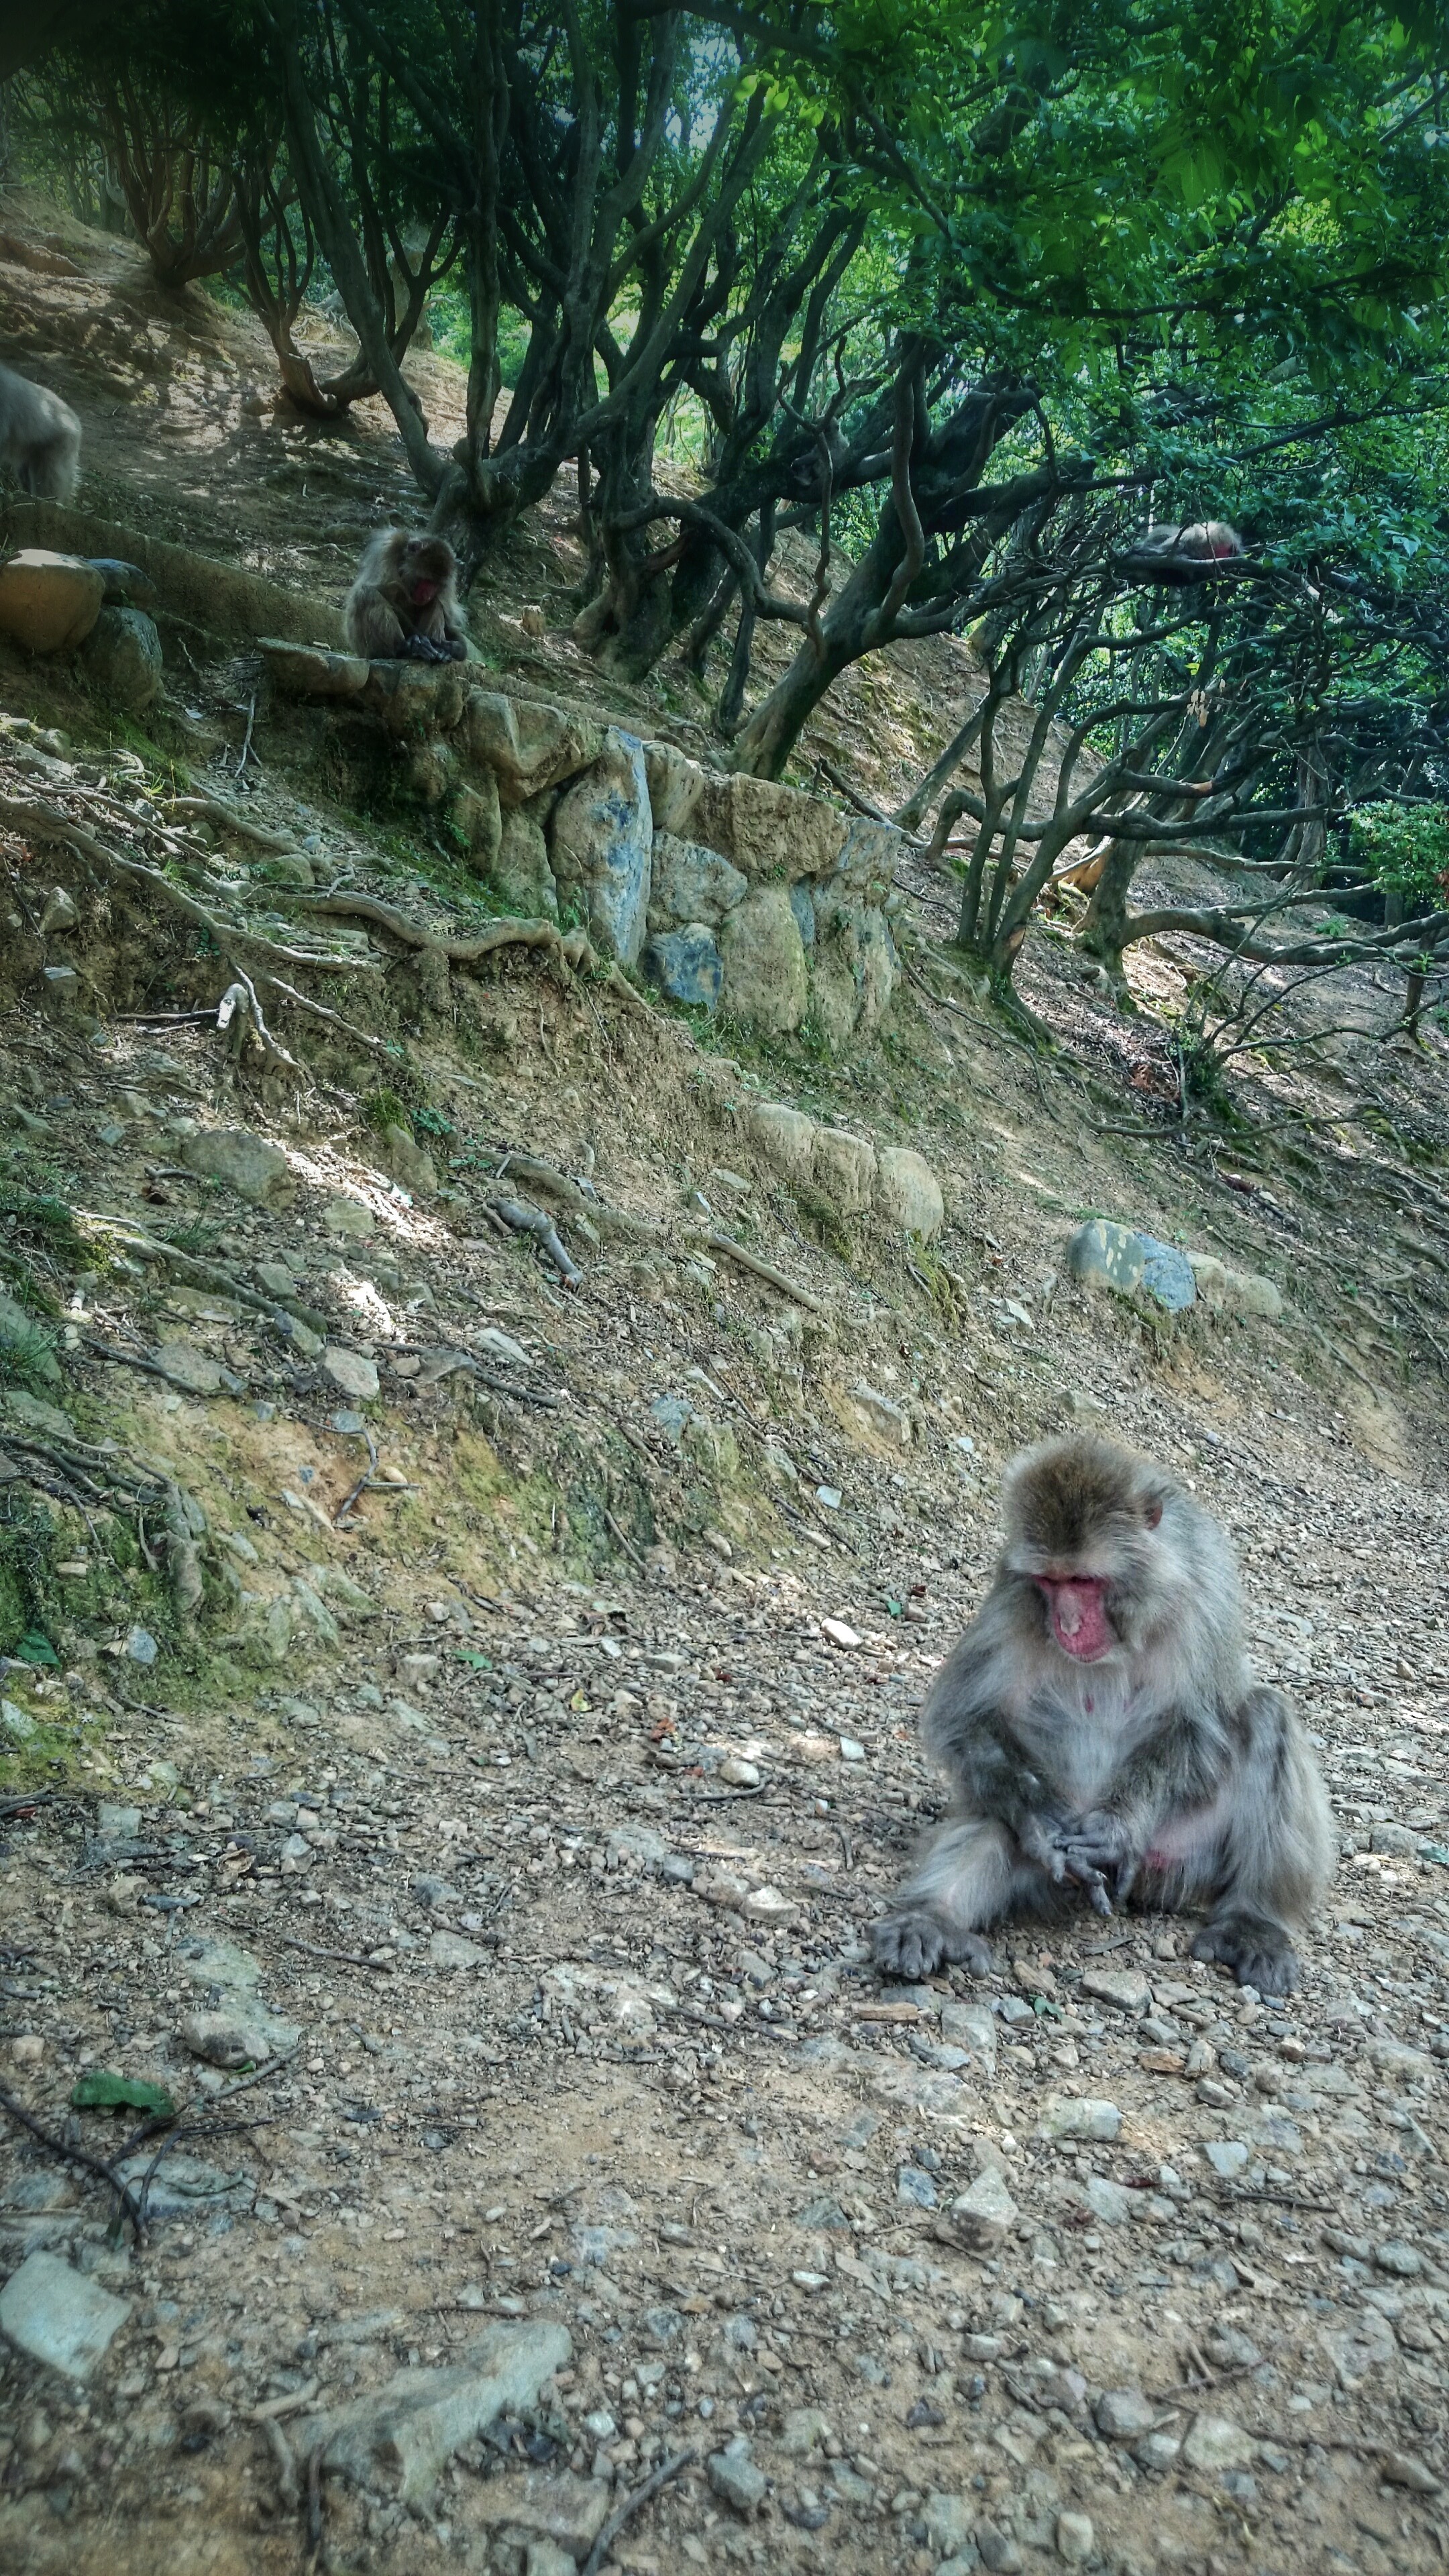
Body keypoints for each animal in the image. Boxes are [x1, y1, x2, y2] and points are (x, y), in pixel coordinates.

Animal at [344, 528, 467, 663]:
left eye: (436, 584)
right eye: (426, 581)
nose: (428, 595)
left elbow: (449, 620)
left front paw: (453, 648)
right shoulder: (388, 551)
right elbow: (384, 592)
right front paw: (418, 644)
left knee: (436, 603)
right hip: (366, 651)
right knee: (367, 594)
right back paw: (403, 650)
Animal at [872, 1435, 1334, 1996]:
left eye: (1086, 1580)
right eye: (1050, 1582)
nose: (1068, 1625)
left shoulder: (1207, 1595)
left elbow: (1201, 1724)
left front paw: (1116, 1828)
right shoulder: (1013, 1594)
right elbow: (964, 1719)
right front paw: (1041, 1820)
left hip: (1185, 1857)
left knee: (1269, 1716)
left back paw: (1254, 1921)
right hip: (1046, 1871)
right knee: (992, 1819)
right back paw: (931, 1919)